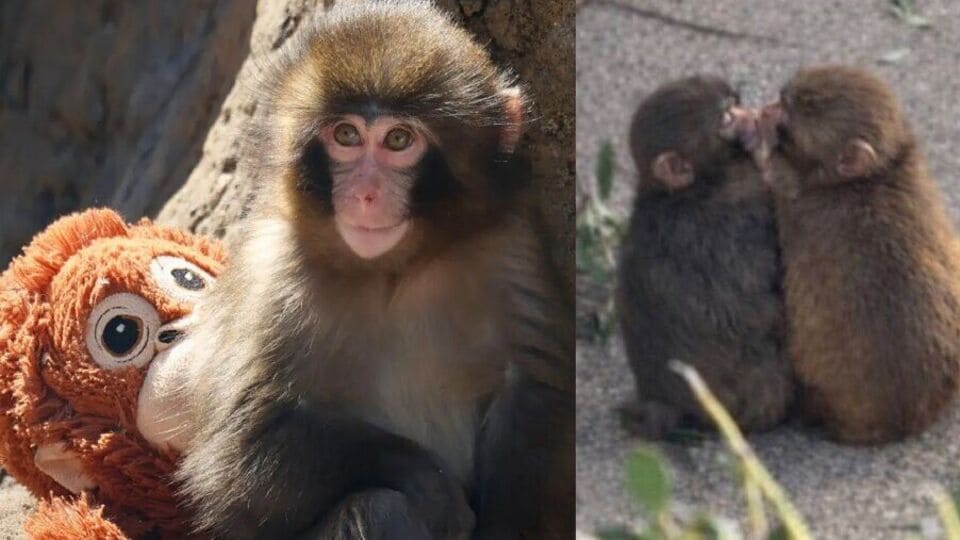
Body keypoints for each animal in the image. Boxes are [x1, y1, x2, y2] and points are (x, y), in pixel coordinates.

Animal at [175, 2, 574, 539]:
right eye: (346, 135)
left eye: (399, 139)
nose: (365, 193)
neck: (393, 271)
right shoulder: (273, 274)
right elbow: (241, 454)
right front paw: (430, 485)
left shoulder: (511, 245)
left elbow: (537, 392)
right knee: (379, 508)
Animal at [753, 65, 960, 444]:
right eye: (786, 98)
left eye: (802, 108)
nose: (772, 105)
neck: (872, 177)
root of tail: (903, 421)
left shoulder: (802, 208)